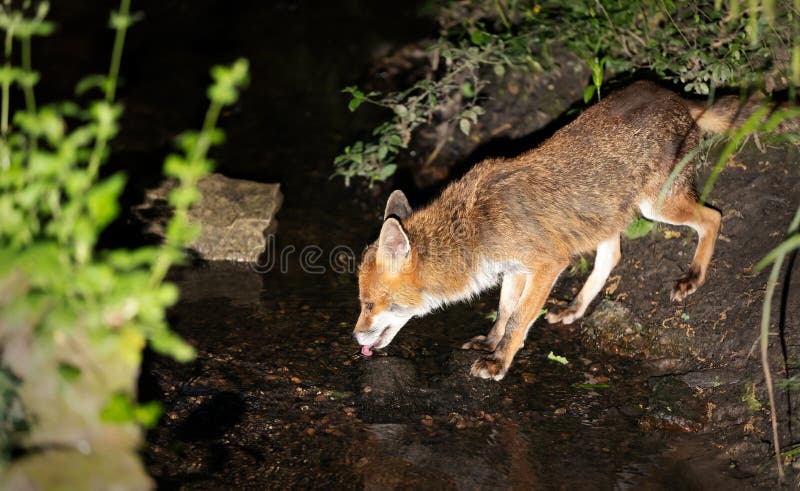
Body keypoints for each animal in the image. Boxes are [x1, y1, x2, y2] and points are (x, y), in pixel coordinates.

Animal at [353, 80, 765, 381]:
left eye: (369, 304)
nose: (354, 337)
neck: (471, 228)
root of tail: (675, 95)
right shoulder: (515, 269)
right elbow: (503, 312)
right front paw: (489, 345)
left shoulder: (547, 263)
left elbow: (518, 319)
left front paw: (499, 362)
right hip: (606, 215)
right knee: (613, 255)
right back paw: (575, 308)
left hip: (659, 205)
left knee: (712, 218)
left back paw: (693, 276)